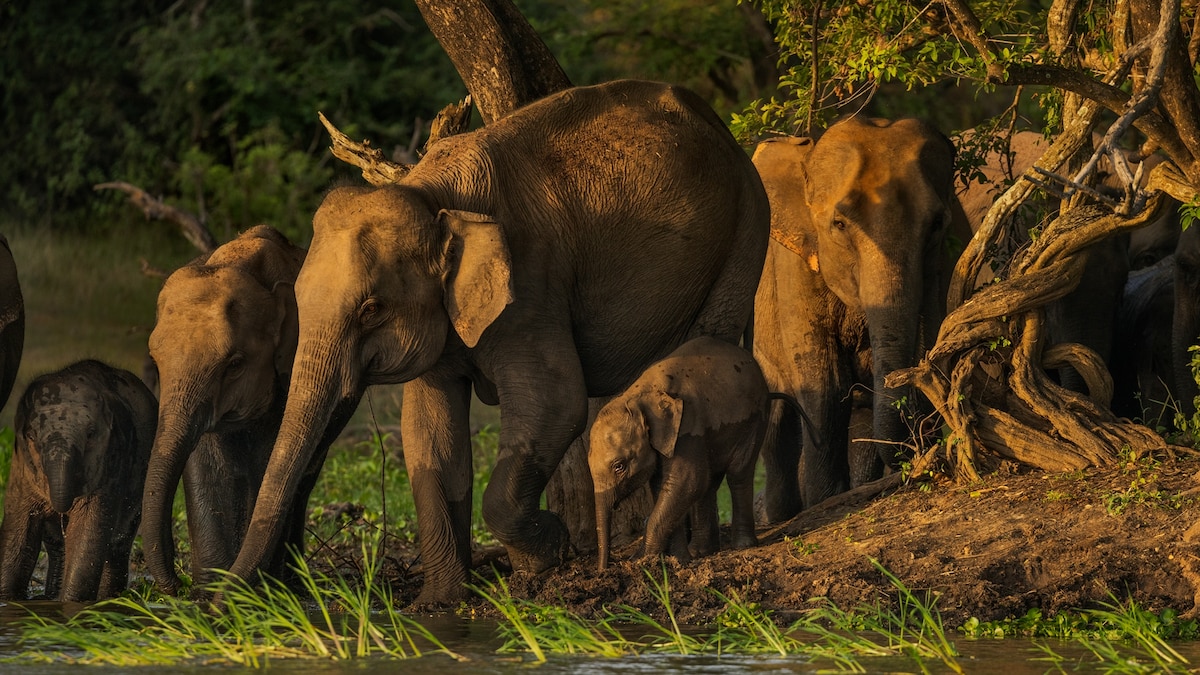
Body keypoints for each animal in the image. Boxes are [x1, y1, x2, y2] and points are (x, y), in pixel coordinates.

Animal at [0, 360, 156, 601]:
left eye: (91, 435)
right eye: (31, 436)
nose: (58, 508)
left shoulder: (110, 461)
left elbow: (85, 532)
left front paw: (69, 604)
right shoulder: (21, 468)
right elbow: (18, 532)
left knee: (117, 543)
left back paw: (109, 597)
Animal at [140, 224, 349, 595]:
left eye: (235, 364)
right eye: (155, 360)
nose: (175, 585)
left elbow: (269, 468)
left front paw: (251, 593)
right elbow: (204, 464)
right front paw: (208, 592)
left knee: (302, 482)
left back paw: (291, 584)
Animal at [589, 337, 767, 571]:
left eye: (619, 466)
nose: (603, 570)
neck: (638, 395)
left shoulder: (687, 429)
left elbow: (686, 482)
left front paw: (641, 560)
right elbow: (665, 486)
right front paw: (677, 560)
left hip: (755, 418)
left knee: (738, 473)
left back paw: (743, 545)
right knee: (709, 484)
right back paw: (701, 551)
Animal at [752, 117, 957, 521]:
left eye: (937, 223)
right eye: (839, 224)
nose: (913, 458)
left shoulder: (936, 267)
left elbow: (928, 348)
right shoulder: (795, 269)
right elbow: (825, 383)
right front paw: (825, 502)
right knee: (775, 420)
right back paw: (782, 514)